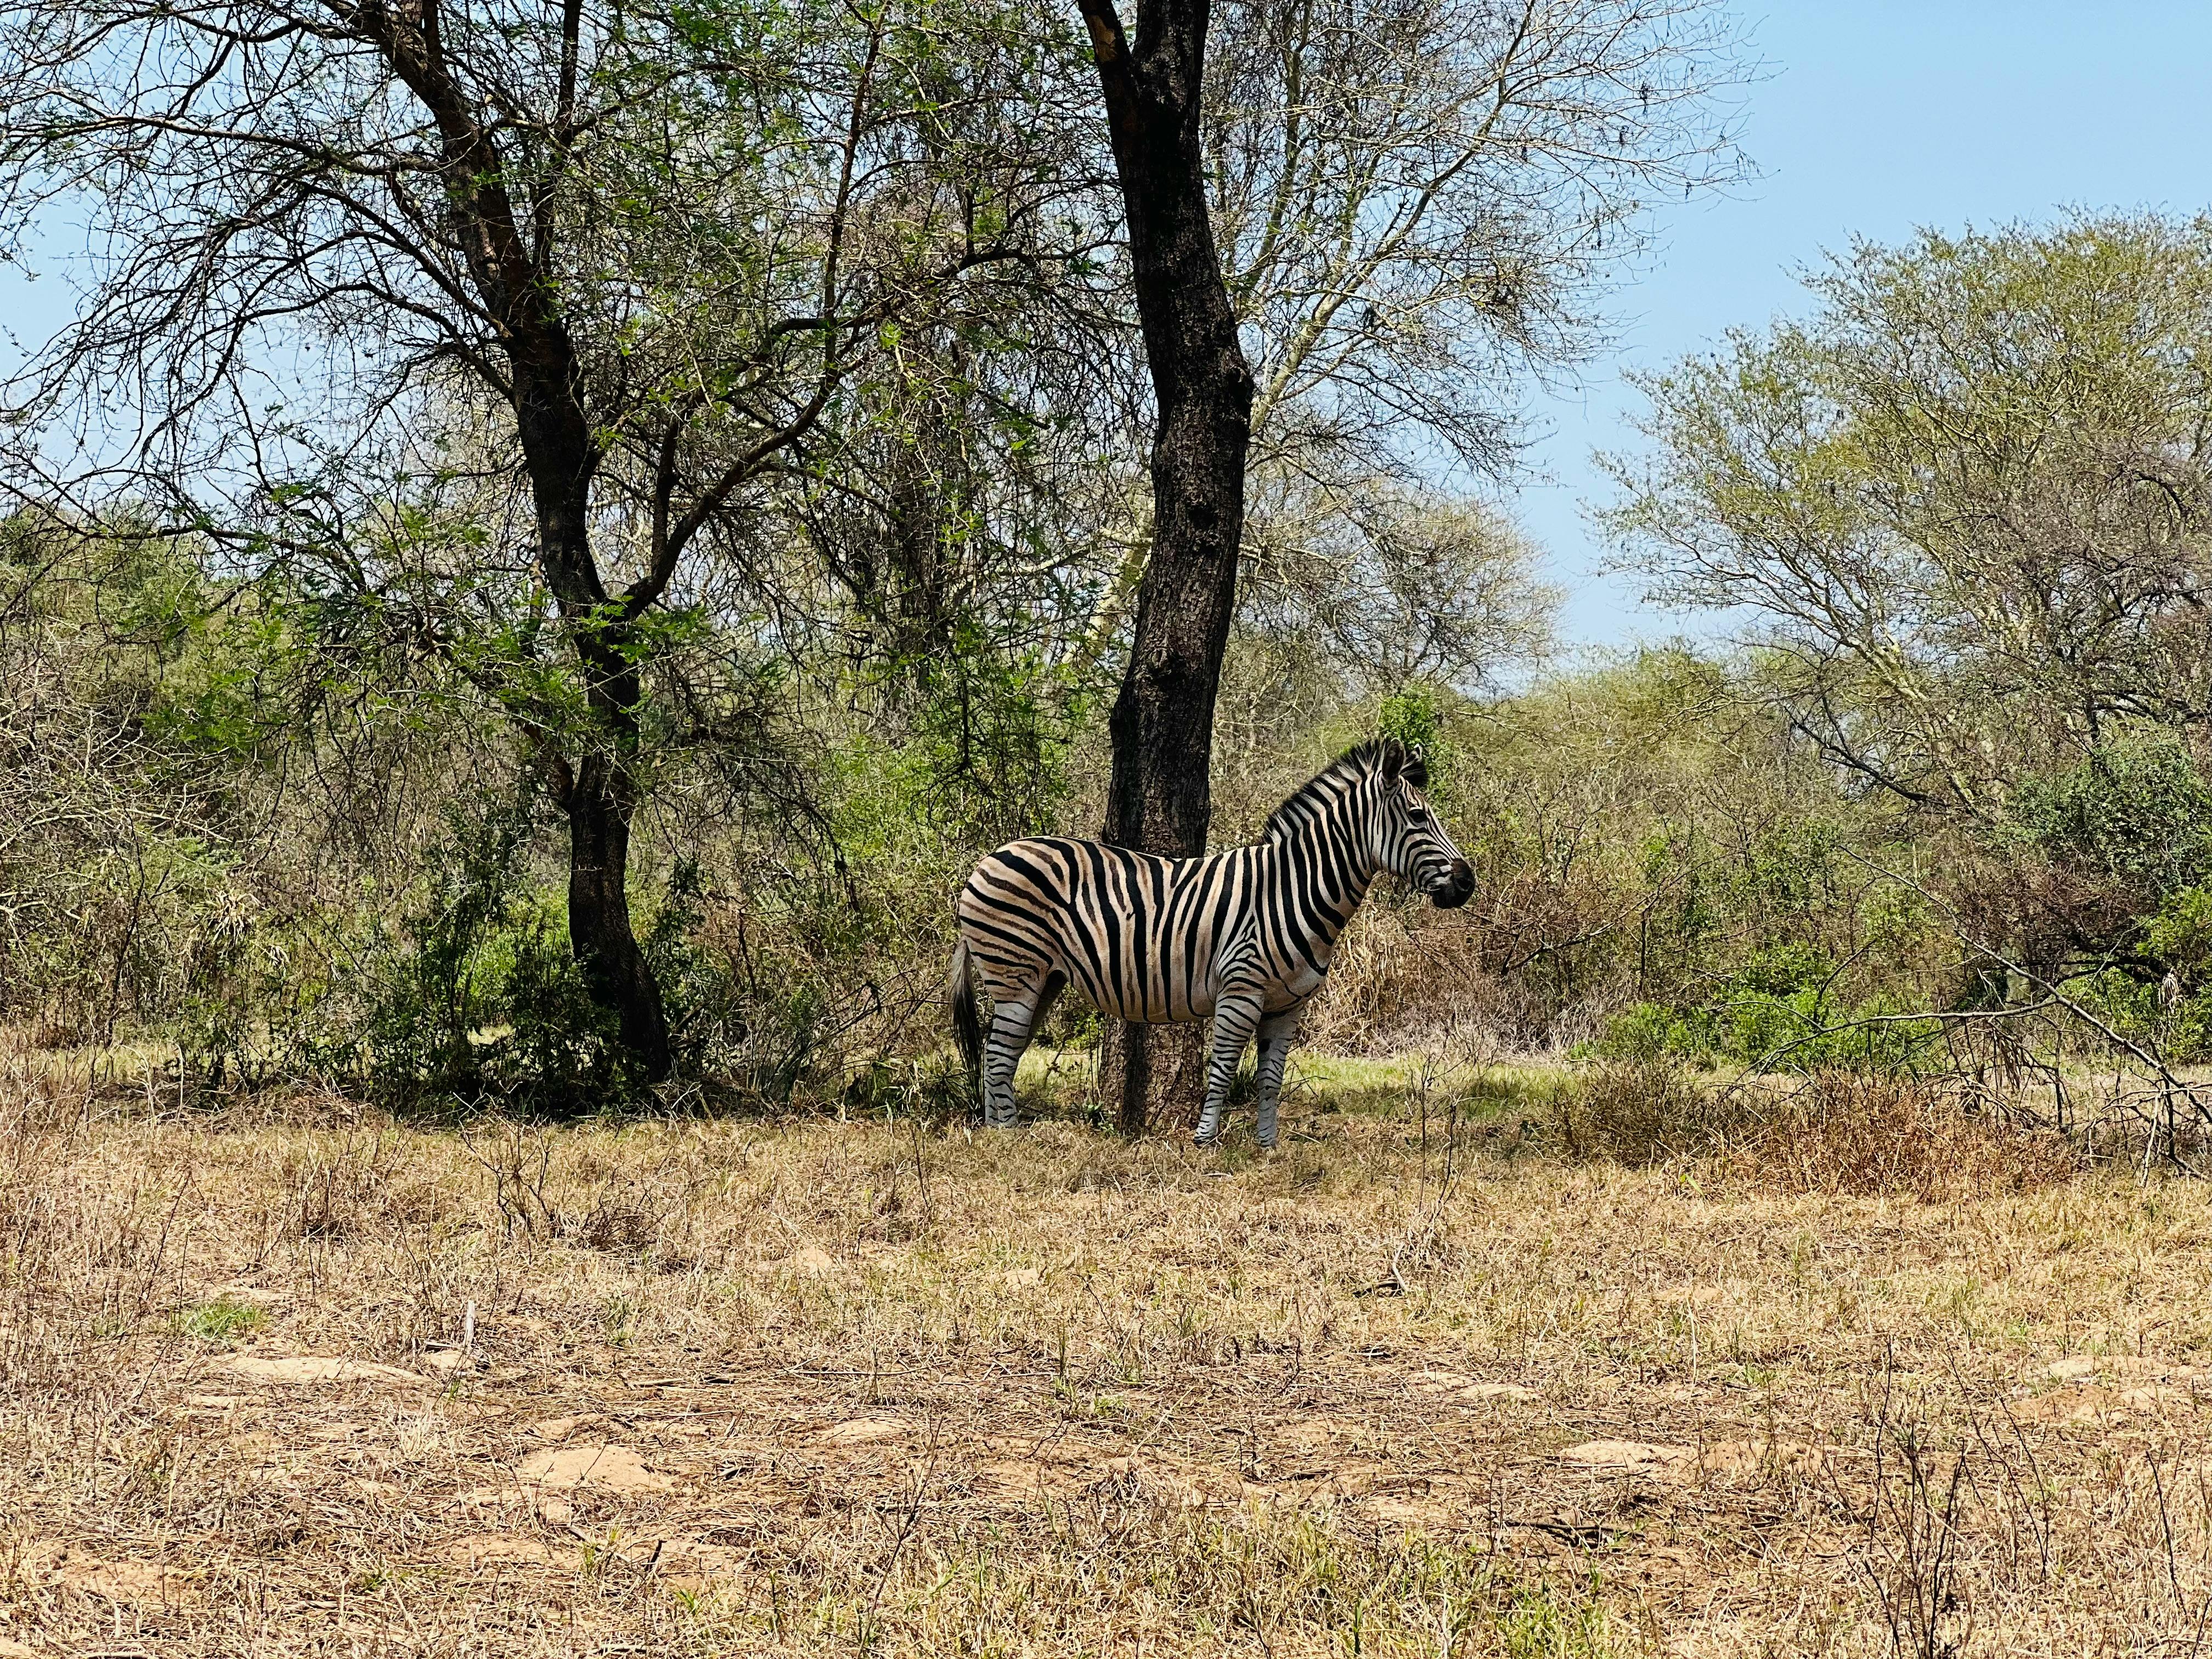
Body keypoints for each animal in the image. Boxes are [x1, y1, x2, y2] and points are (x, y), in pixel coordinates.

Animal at [947, 737, 1474, 1147]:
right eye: (1417, 817)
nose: (1468, 883)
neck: (1294, 888)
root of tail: (990, 858)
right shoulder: (1241, 990)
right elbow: (1222, 1069)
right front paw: (1205, 1143)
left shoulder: (1289, 1005)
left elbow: (1270, 1080)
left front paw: (1267, 1148)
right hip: (1015, 972)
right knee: (998, 1053)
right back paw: (1007, 1137)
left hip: (1044, 979)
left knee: (1002, 1052)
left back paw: (999, 1131)